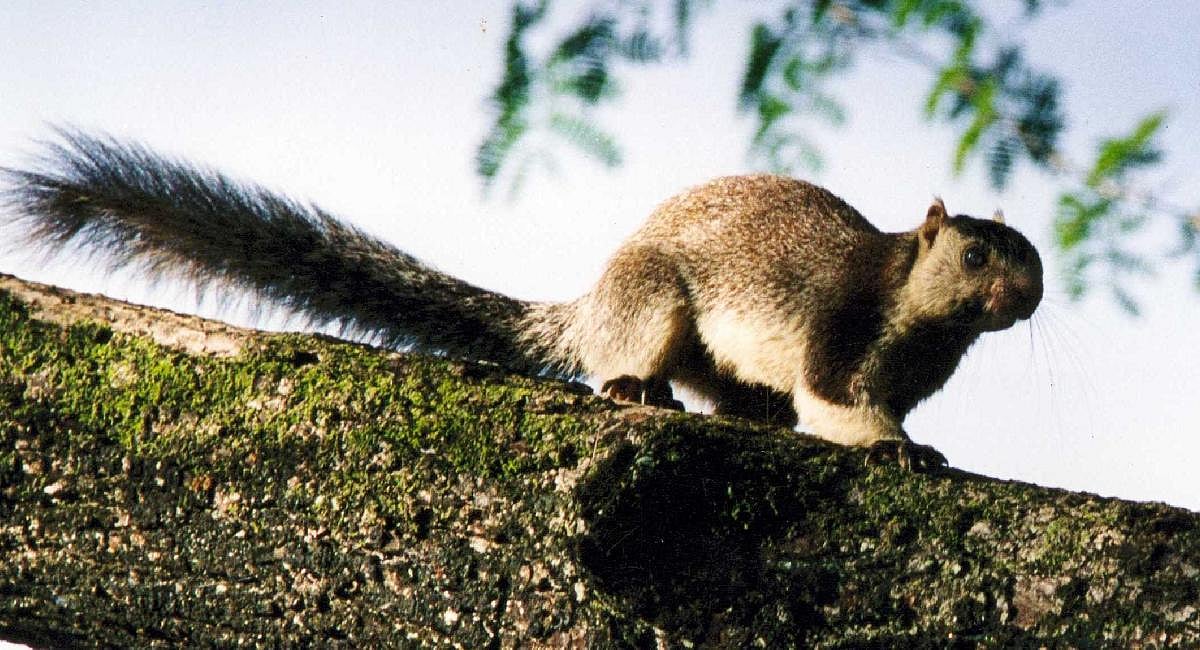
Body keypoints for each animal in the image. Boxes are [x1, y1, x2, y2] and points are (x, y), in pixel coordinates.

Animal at [2, 130, 1042, 470]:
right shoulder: (838, 325)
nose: (1029, 295)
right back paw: (633, 388)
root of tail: (588, 304)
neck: (924, 324)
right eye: (976, 251)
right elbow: (839, 402)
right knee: (635, 364)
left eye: (1035, 256)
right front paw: (900, 451)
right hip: (653, 306)